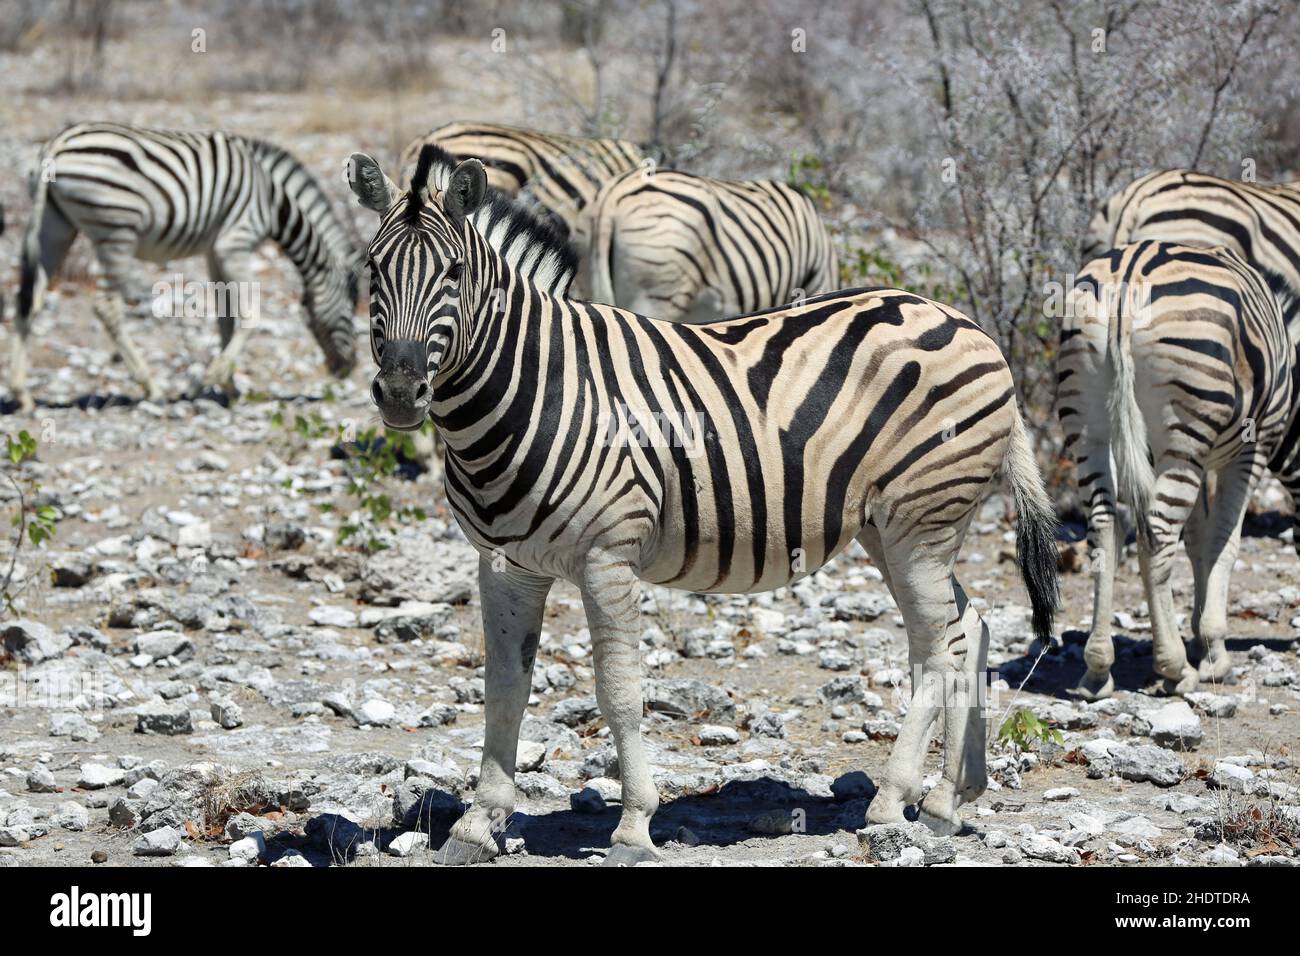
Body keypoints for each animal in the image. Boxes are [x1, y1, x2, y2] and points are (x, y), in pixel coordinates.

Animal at [10, 122, 362, 411]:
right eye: (351, 310)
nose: (348, 369)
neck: (273, 200)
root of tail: (56, 144)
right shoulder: (235, 243)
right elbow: (249, 316)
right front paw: (211, 377)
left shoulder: (214, 252)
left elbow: (225, 318)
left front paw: (230, 387)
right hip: (116, 233)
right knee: (106, 307)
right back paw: (151, 388)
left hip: (56, 226)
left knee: (30, 299)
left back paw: (21, 395)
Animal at [1056, 241, 1298, 701]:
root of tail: (1127, 277)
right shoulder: (1251, 447)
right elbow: (1224, 542)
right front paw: (1214, 652)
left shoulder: (1193, 460)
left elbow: (1198, 542)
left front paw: (1201, 636)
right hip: (1187, 428)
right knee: (1156, 537)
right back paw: (1174, 667)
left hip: (1088, 429)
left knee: (1104, 529)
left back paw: (1097, 669)